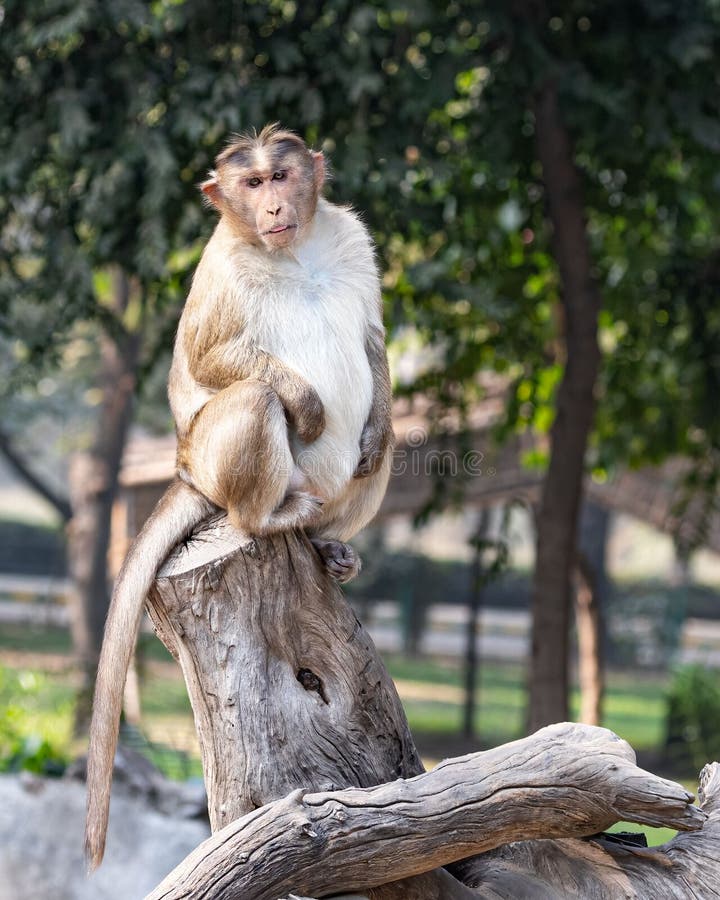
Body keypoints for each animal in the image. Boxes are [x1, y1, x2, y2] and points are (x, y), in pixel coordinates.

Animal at [84, 124, 394, 871]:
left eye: (281, 175)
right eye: (250, 185)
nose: (274, 206)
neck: (292, 250)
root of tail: (185, 468)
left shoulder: (353, 235)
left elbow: (372, 340)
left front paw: (378, 421)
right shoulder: (221, 265)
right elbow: (211, 356)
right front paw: (307, 404)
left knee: (381, 446)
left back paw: (331, 545)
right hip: (215, 460)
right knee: (254, 397)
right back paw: (269, 515)